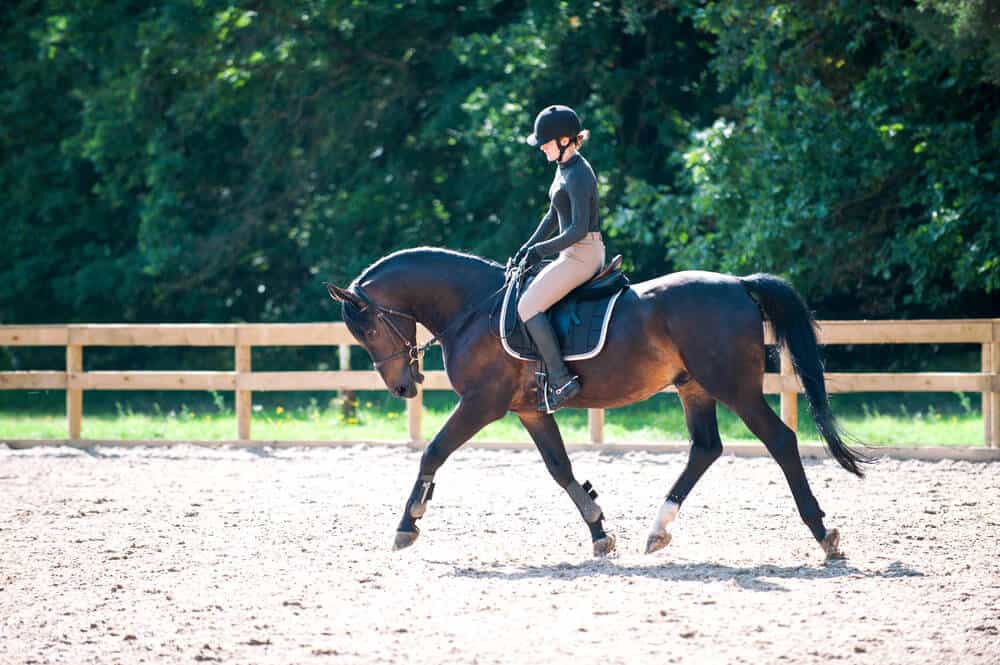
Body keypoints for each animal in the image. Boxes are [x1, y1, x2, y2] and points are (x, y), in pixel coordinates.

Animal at [325, 247, 868, 560]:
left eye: (367, 328)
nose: (403, 387)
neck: (474, 307)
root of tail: (738, 284)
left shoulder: (482, 404)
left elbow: (432, 451)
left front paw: (407, 525)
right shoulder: (530, 410)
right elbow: (561, 469)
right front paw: (599, 533)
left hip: (734, 387)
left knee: (780, 440)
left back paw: (823, 534)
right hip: (693, 387)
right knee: (706, 449)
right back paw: (658, 530)